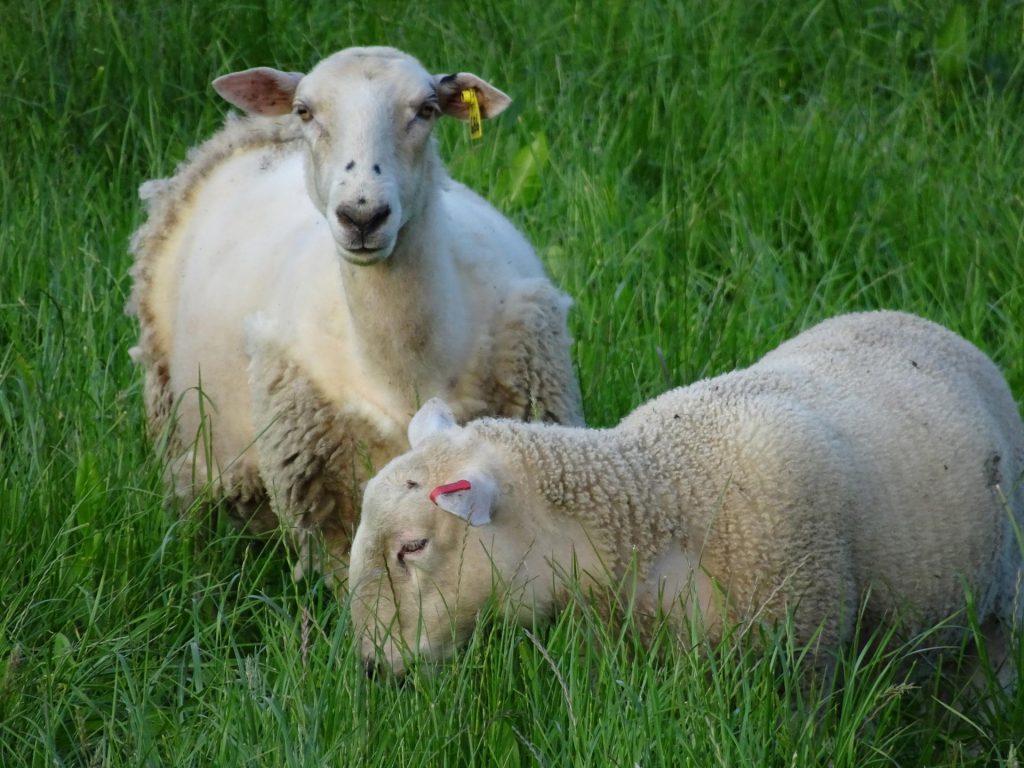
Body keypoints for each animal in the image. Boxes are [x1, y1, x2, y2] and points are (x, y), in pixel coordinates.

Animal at [126, 46, 583, 587]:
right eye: (306, 110)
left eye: (427, 109)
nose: (362, 216)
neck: (406, 367)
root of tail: (253, 131)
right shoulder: (323, 501)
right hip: (182, 431)